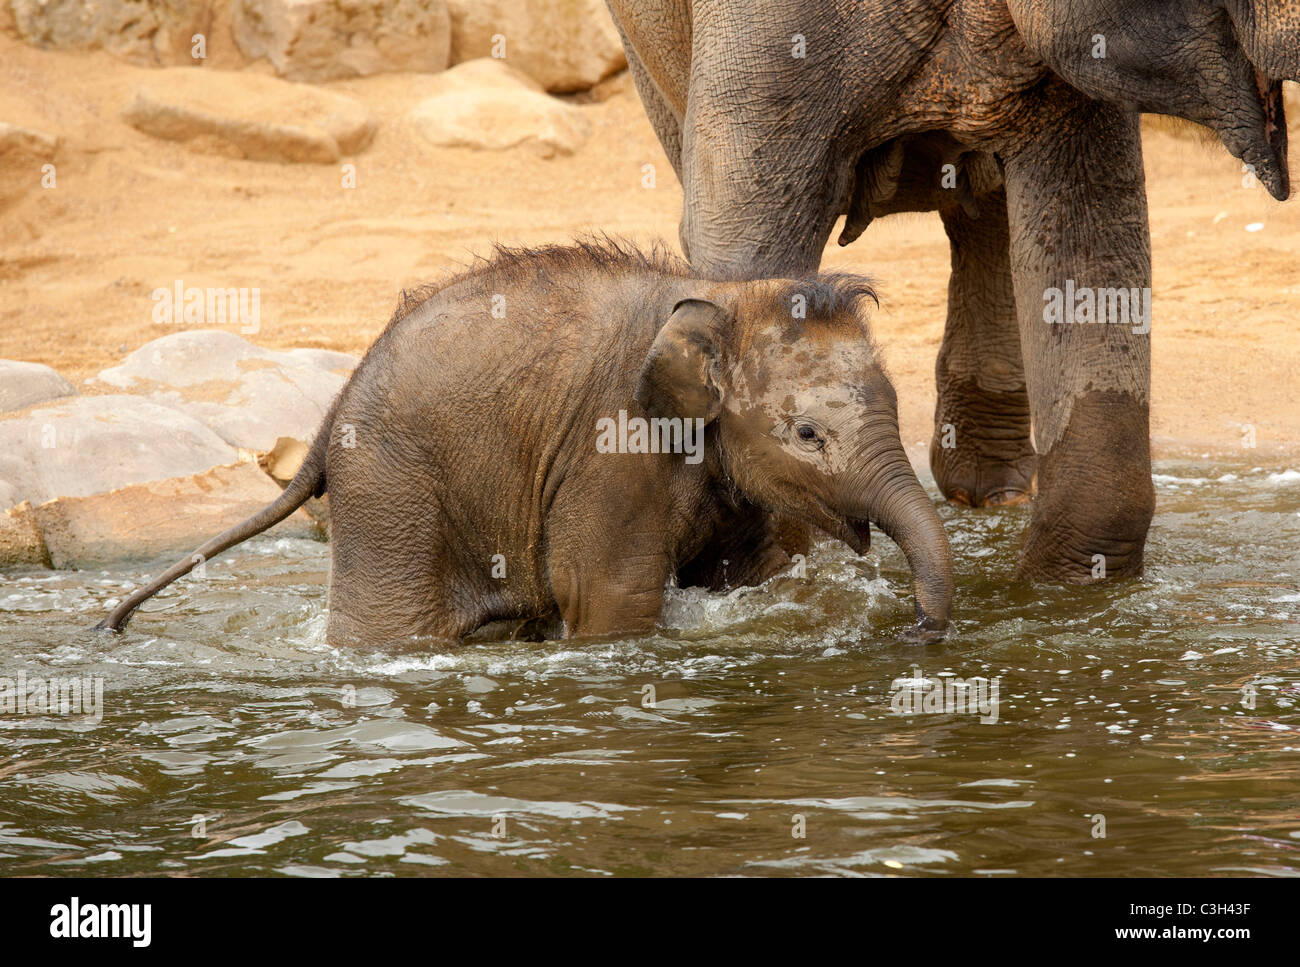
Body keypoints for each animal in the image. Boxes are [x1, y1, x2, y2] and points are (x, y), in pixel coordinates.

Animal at [95, 240, 954, 646]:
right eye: (807, 432)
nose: (919, 624)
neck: (726, 294)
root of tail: (329, 416)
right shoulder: (611, 447)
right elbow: (611, 596)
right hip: (390, 494)